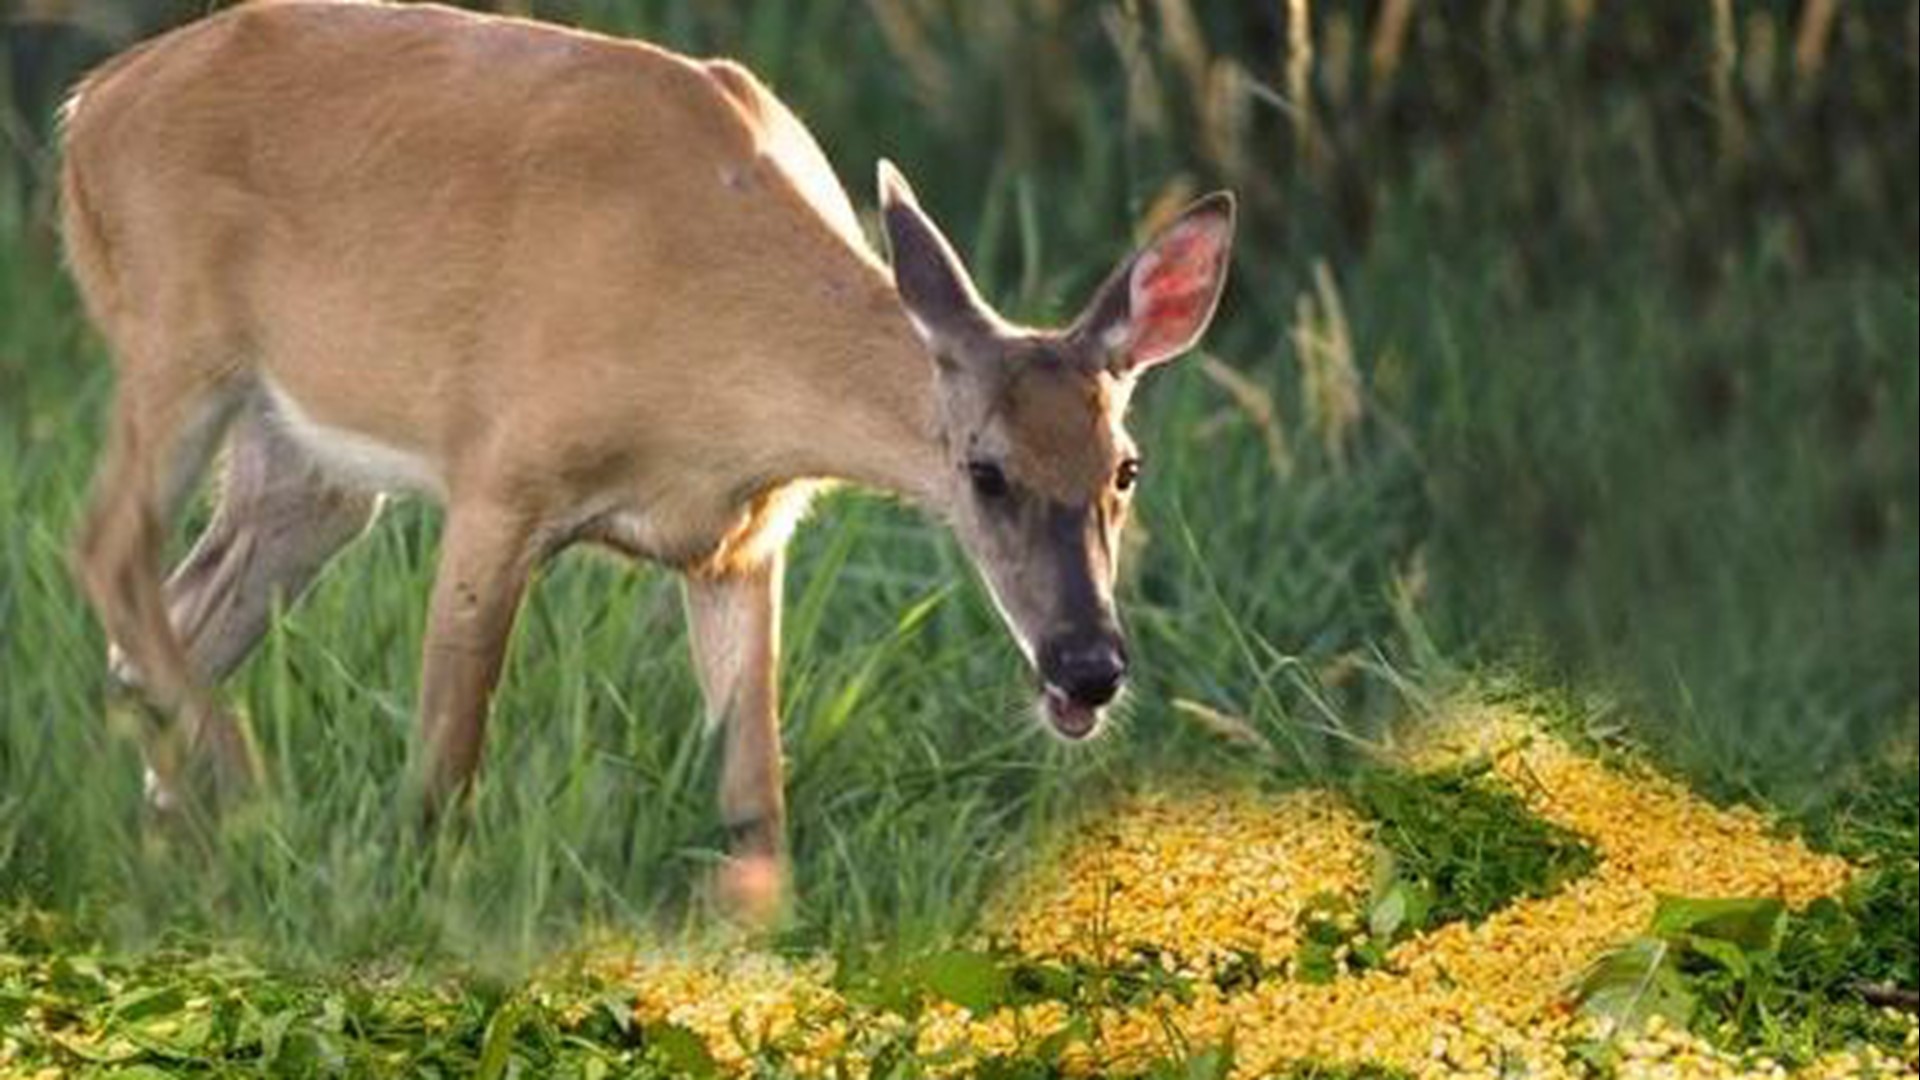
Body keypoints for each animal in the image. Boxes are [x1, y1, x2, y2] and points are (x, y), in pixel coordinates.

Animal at [59, 0, 1234, 915]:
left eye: (1124, 469)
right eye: (983, 470)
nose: (1087, 665)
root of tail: (87, 110)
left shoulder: (741, 541)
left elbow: (757, 799)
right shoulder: (500, 472)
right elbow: (447, 754)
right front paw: (421, 904)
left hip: (306, 460)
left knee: (173, 613)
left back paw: (176, 850)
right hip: (175, 343)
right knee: (106, 550)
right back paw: (245, 797)